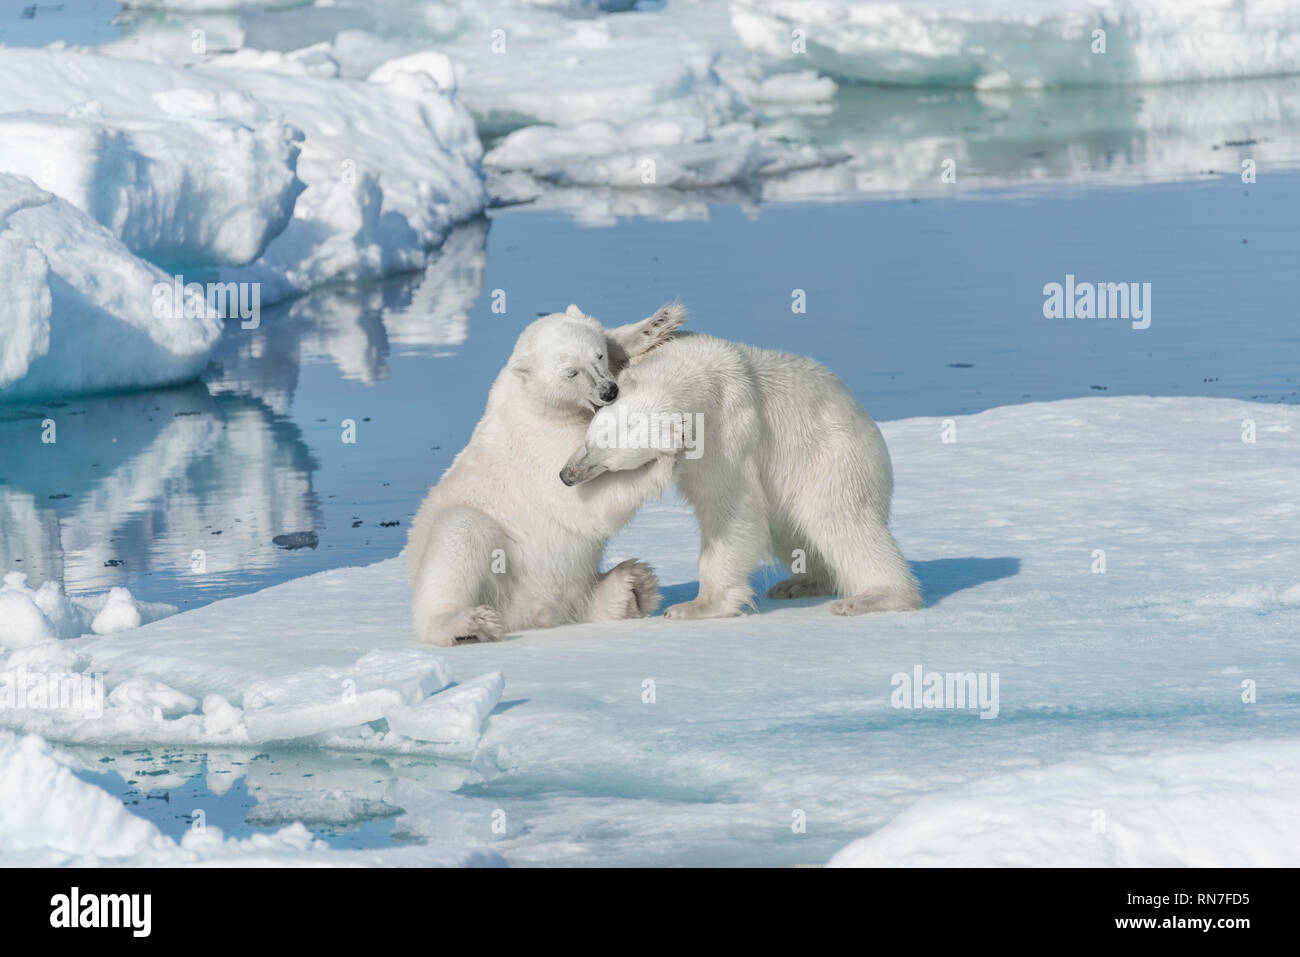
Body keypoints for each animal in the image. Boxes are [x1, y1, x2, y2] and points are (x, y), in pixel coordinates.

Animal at [405, 303, 686, 646]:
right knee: (459, 535)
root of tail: (532, 613)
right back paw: (466, 626)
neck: (536, 404)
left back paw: (632, 587)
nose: (609, 391)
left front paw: (658, 324)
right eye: (570, 372)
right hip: (497, 563)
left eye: (598, 355)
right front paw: (665, 455)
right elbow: (590, 502)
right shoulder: (541, 445)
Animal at [559, 327, 922, 619]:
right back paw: (800, 583)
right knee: (792, 530)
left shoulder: (724, 433)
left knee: (841, 522)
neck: (699, 372)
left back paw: (873, 597)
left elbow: (730, 510)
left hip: (833, 458)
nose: (567, 475)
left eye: (609, 463)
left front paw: (694, 606)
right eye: (590, 440)